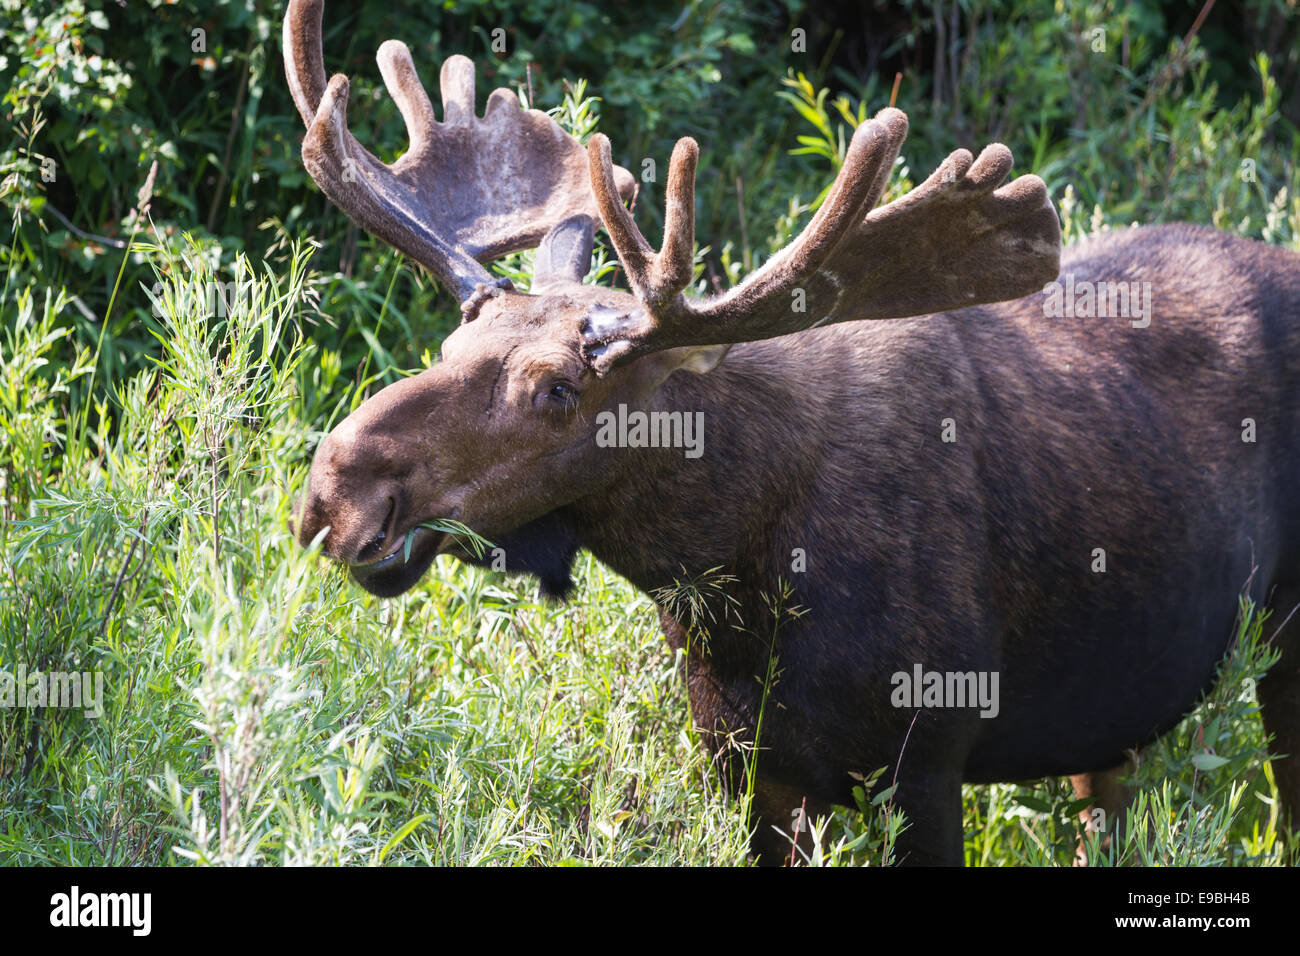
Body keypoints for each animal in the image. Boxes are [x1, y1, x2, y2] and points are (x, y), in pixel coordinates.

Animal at [284, 0, 1300, 865]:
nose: (335, 495)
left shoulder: (925, 759)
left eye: (559, 388)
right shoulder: (748, 766)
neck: (734, 583)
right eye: (451, 339)